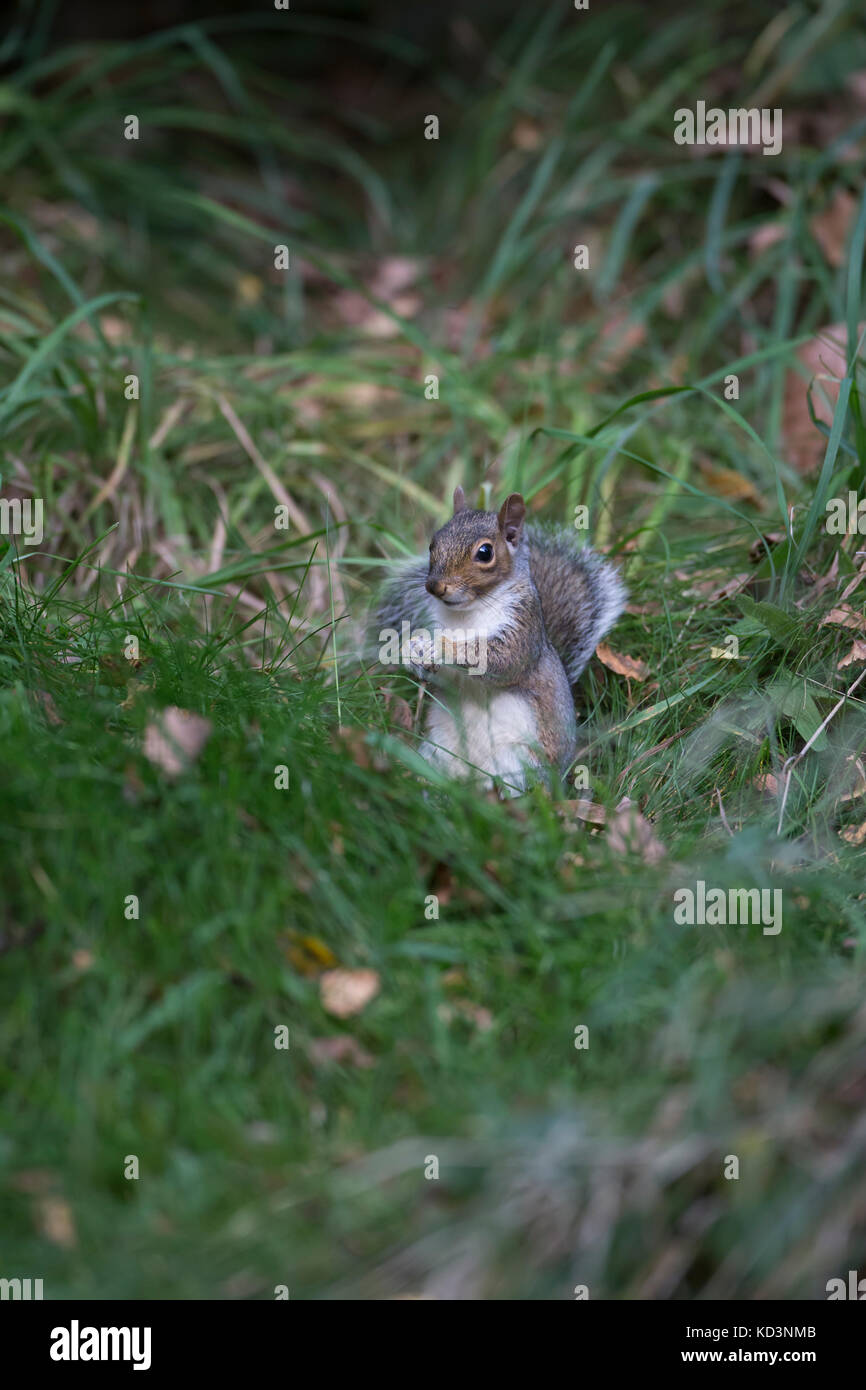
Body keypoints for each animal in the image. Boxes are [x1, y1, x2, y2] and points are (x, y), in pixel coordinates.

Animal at [374, 487, 626, 793]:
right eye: (433, 544)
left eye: (485, 552)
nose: (434, 586)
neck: (466, 614)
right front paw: (412, 651)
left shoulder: (522, 627)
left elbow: (500, 660)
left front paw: (440, 646)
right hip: (437, 749)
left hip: (519, 762)